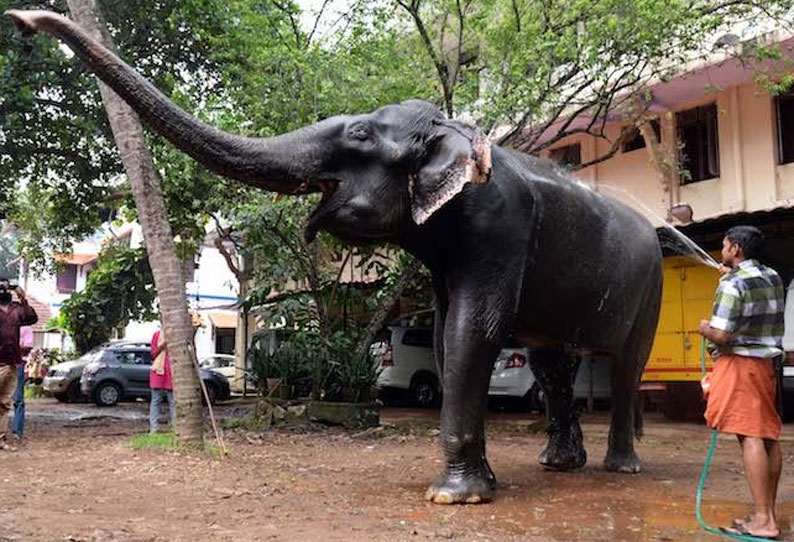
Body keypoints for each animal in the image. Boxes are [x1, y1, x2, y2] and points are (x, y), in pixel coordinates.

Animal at [7, 10, 663, 504]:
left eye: (361, 136)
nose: (22, 20)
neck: (456, 129)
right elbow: (446, 338)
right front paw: (483, 484)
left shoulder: (499, 229)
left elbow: (473, 330)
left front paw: (455, 497)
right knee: (552, 365)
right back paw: (559, 464)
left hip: (651, 284)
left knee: (625, 365)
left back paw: (621, 466)